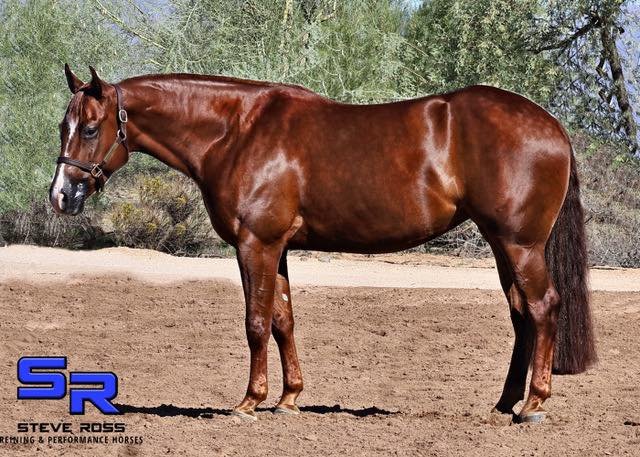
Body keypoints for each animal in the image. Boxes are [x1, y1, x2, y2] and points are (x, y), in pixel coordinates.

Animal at [50, 65, 596, 422]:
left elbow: (255, 322)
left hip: (519, 243)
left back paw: (533, 404)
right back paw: (504, 403)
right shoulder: (278, 248)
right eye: (63, 125)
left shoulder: (256, 244)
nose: (61, 195)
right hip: (503, 244)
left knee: (543, 307)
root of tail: (553, 126)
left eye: (92, 127)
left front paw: (249, 402)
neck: (236, 131)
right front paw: (289, 398)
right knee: (521, 314)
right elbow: (282, 319)